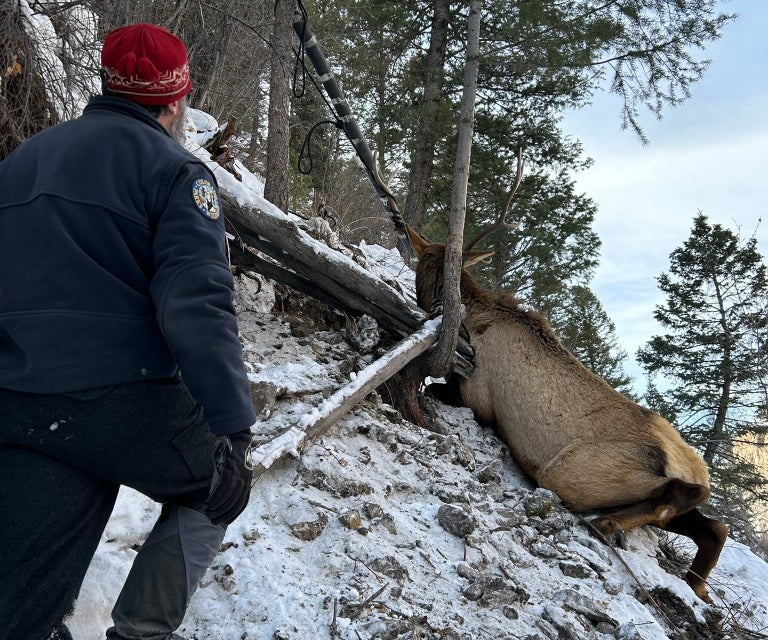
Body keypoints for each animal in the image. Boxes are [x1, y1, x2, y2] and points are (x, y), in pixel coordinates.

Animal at [404, 164, 727, 604]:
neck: (471, 313)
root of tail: (695, 469)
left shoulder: (474, 395)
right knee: (715, 527)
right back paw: (698, 586)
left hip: (570, 473)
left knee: (678, 505)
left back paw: (608, 527)